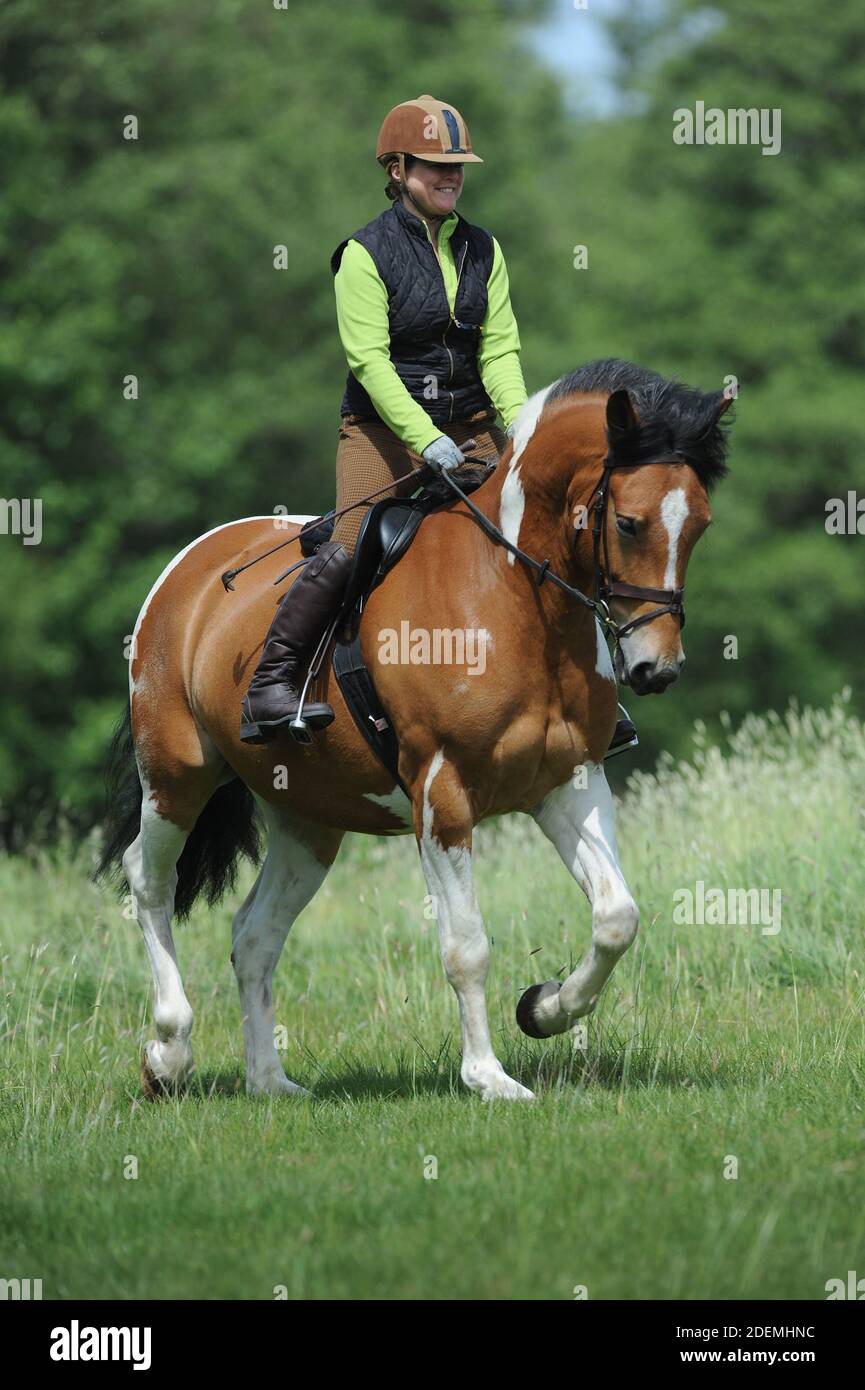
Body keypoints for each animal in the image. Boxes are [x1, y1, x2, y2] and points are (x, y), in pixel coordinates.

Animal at [97, 358, 732, 1102]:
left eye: (699, 525)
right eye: (629, 524)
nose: (656, 669)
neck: (512, 598)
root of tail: (187, 567)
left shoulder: (570, 784)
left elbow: (616, 917)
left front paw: (542, 1008)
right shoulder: (442, 793)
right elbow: (466, 947)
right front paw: (489, 1077)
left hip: (309, 819)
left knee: (254, 933)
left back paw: (270, 1082)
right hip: (176, 776)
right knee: (149, 880)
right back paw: (168, 1054)